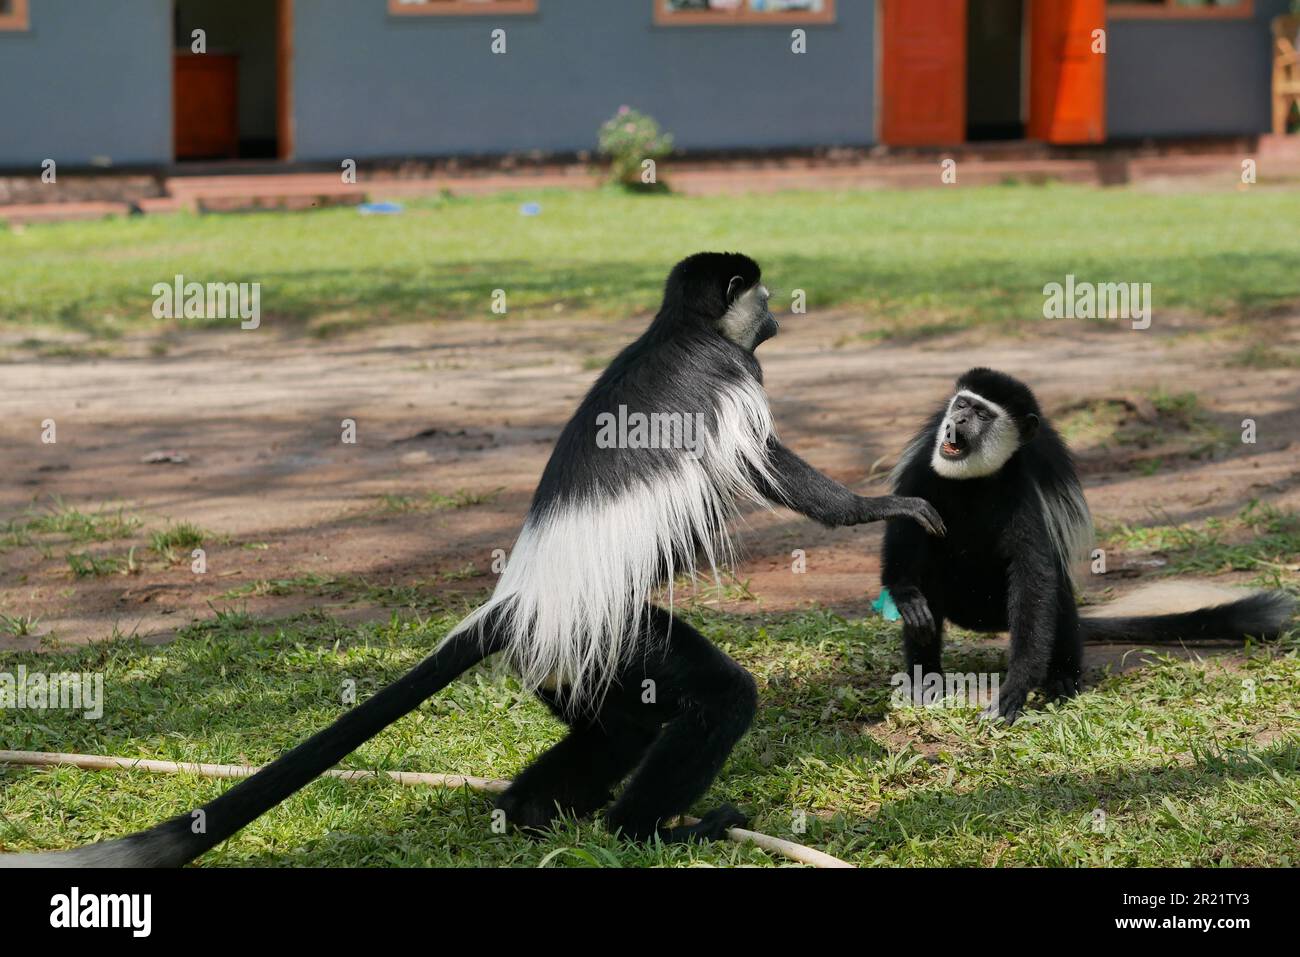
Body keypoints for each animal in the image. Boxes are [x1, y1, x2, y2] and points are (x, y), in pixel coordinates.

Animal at [3, 252, 943, 867]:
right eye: (764, 299)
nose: (780, 314)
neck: (677, 328)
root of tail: (515, 599)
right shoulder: (733, 378)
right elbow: (790, 481)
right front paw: (887, 507)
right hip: (622, 635)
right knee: (710, 700)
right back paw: (649, 831)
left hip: (570, 655)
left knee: (620, 726)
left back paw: (532, 815)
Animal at [882, 367, 1294, 724]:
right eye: (962, 405)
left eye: (982, 413)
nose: (958, 421)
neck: (972, 481)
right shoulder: (924, 469)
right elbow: (905, 531)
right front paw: (906, 596)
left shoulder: (1020, 491)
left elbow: (1035, 577)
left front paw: (1016, 688)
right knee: (928, 585)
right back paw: (924, 677)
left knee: (1057, 596)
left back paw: (1063, 678)